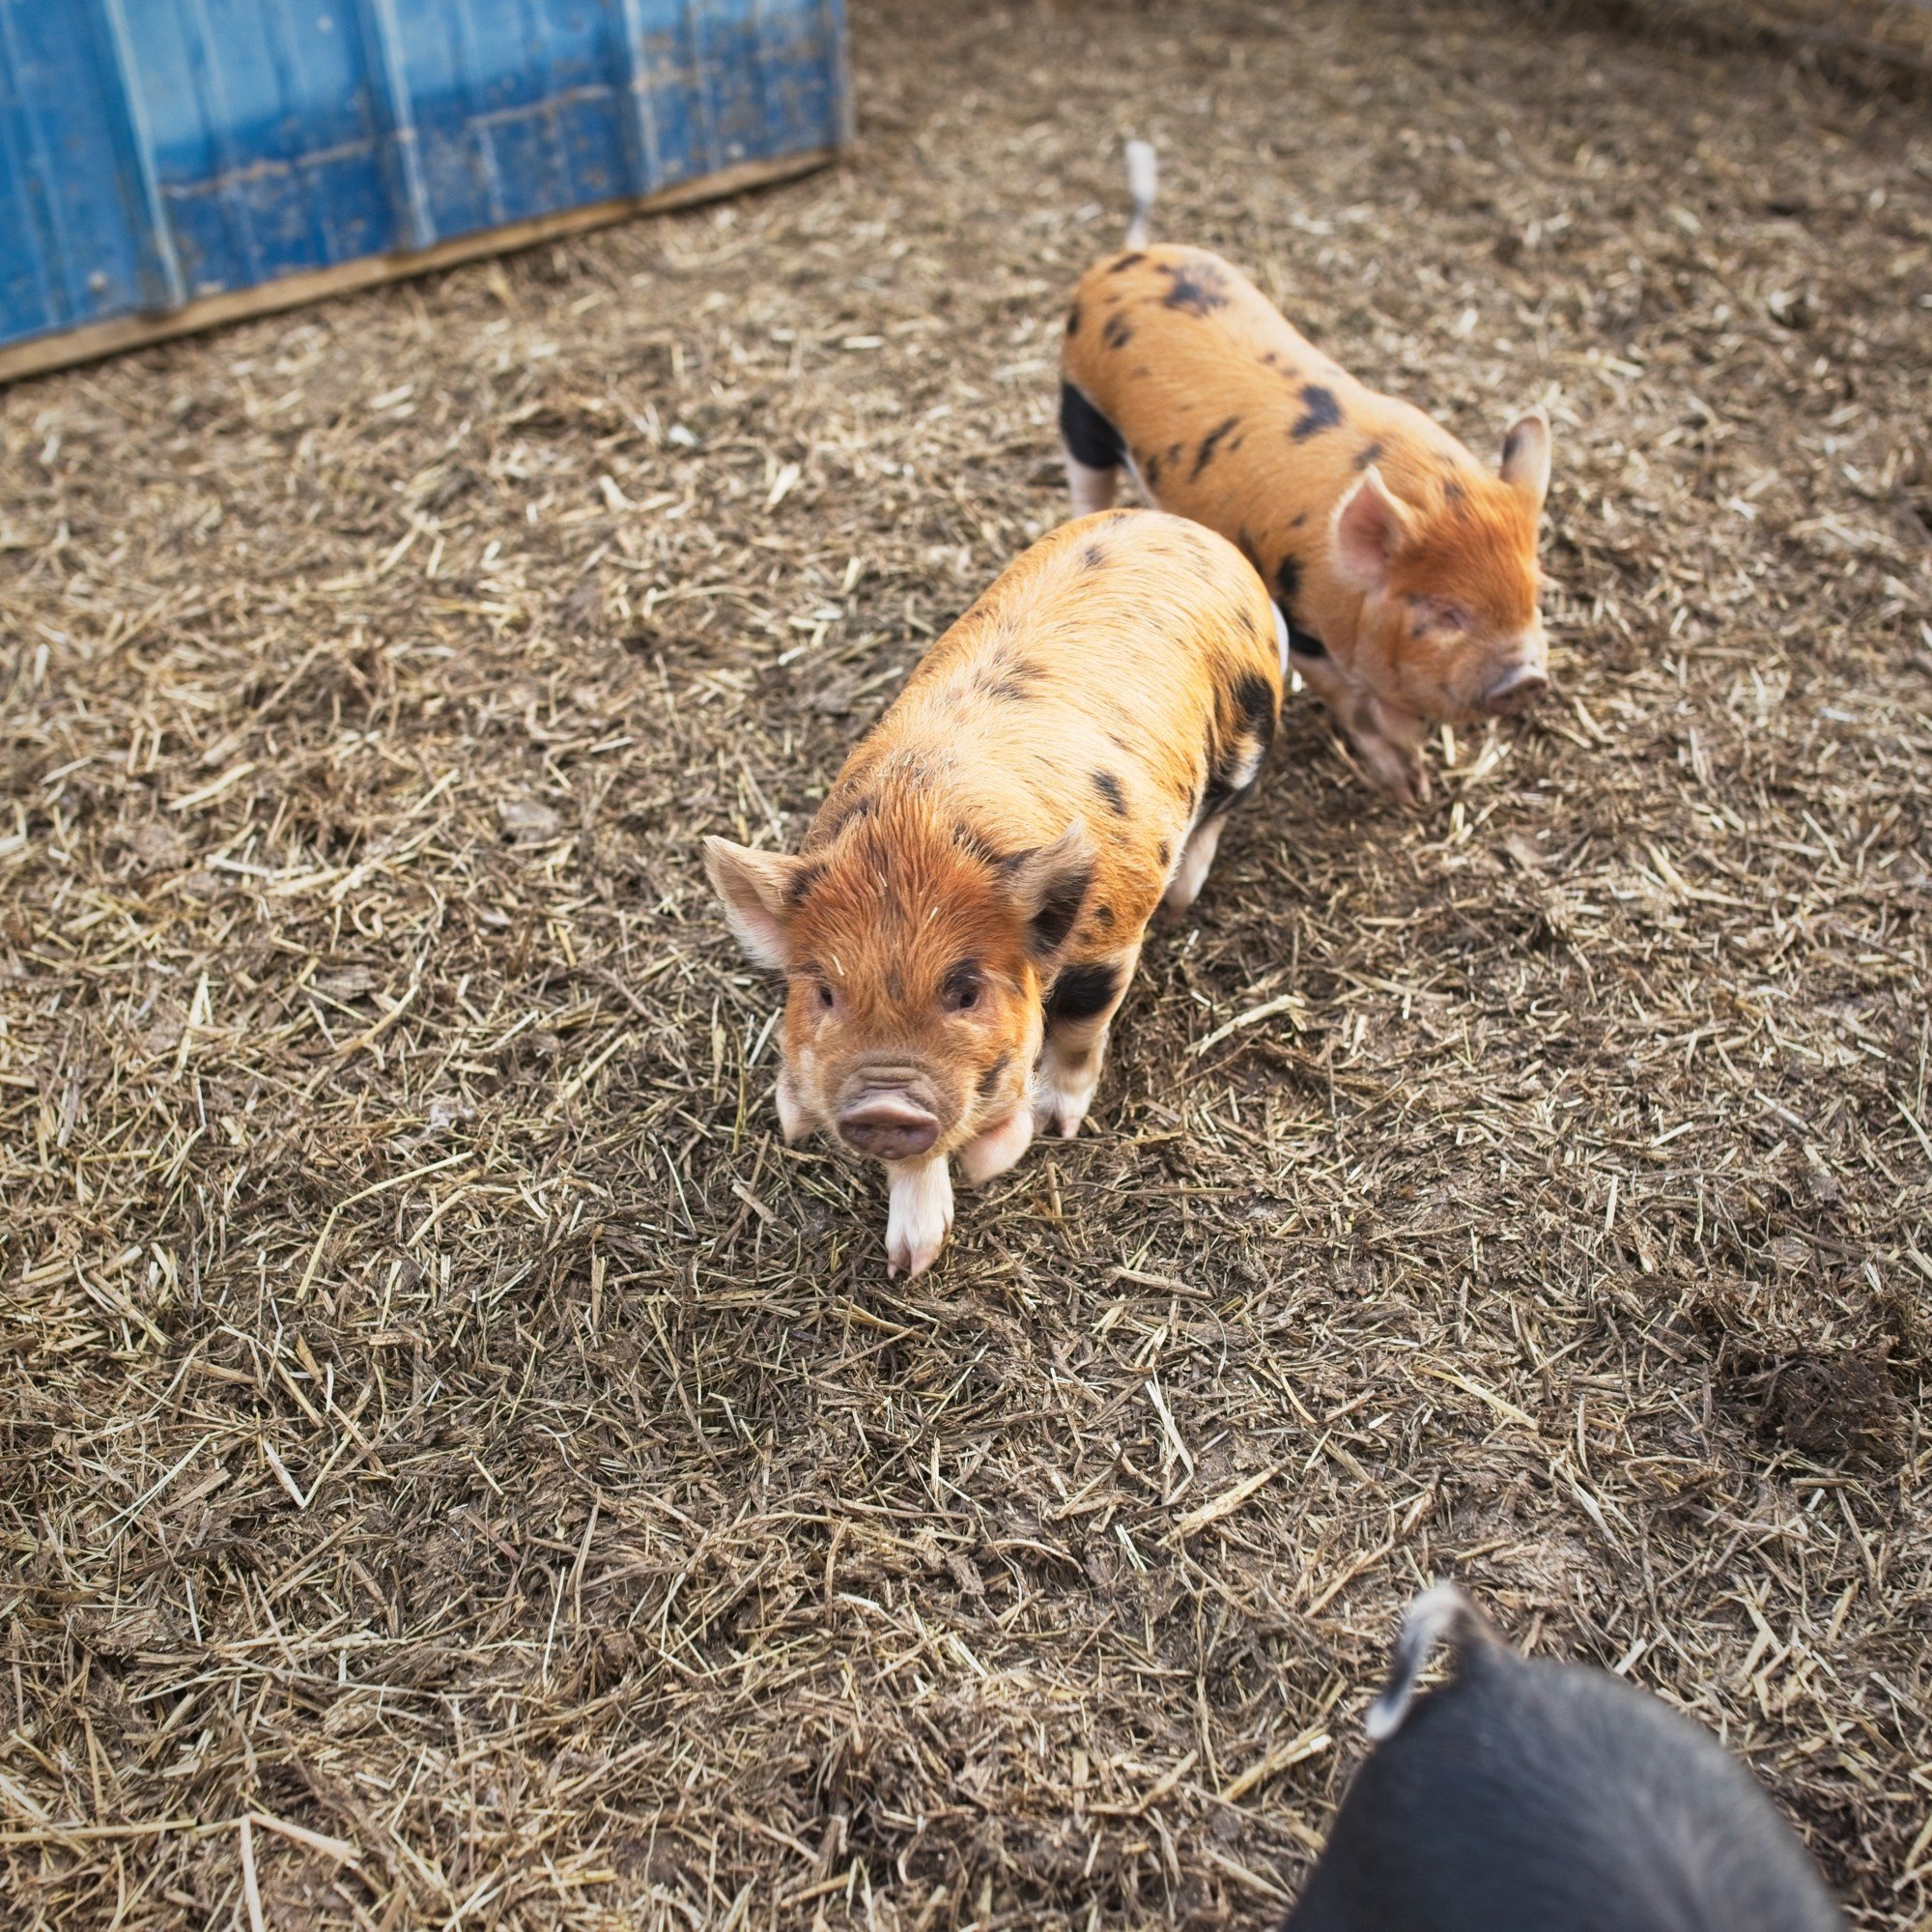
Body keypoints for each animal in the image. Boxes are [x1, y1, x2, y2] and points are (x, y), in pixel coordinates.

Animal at [703, 509, 1284, 1279]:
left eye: (966, 990)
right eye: (823, 993)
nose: (885, 1106)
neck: (914, 829)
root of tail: (1181, 526)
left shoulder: (1113, 937)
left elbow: (1078, 1033)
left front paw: (1046, 1129)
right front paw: (909, 1261)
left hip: (1251, 722)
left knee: (1223, 807)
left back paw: (1187, 893)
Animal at [1060, 142, 1551, 805]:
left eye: (1536, 592)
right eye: (1446, 612)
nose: (1526, 678)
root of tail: (1126, 254)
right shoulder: (1298, 616)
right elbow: (1351, 699)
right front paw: (1409, 782)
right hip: (1078, 407)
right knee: (1086, 481)